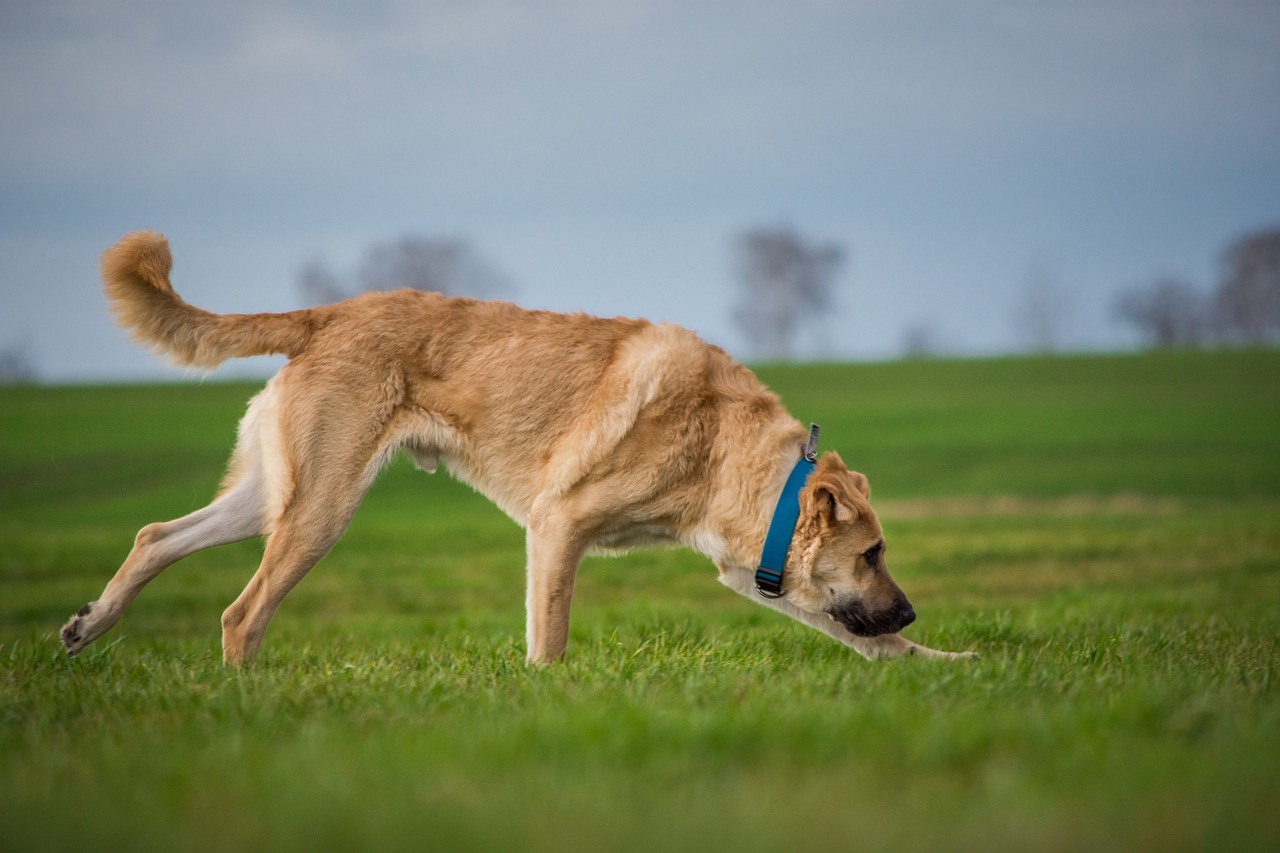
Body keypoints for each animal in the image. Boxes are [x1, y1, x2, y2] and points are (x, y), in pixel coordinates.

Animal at [60, 233, 967, 666]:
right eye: (875, 550)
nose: (912, 607)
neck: (724, 448)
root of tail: (330, 312)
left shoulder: (755, 574)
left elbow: (873, 643)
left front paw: (949, 662)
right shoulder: (557, 526)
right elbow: (551, 641)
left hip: (273, 499)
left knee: (155, 536)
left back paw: (90, 624)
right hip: (319, 511)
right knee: (240, 614)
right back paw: (246, 702)